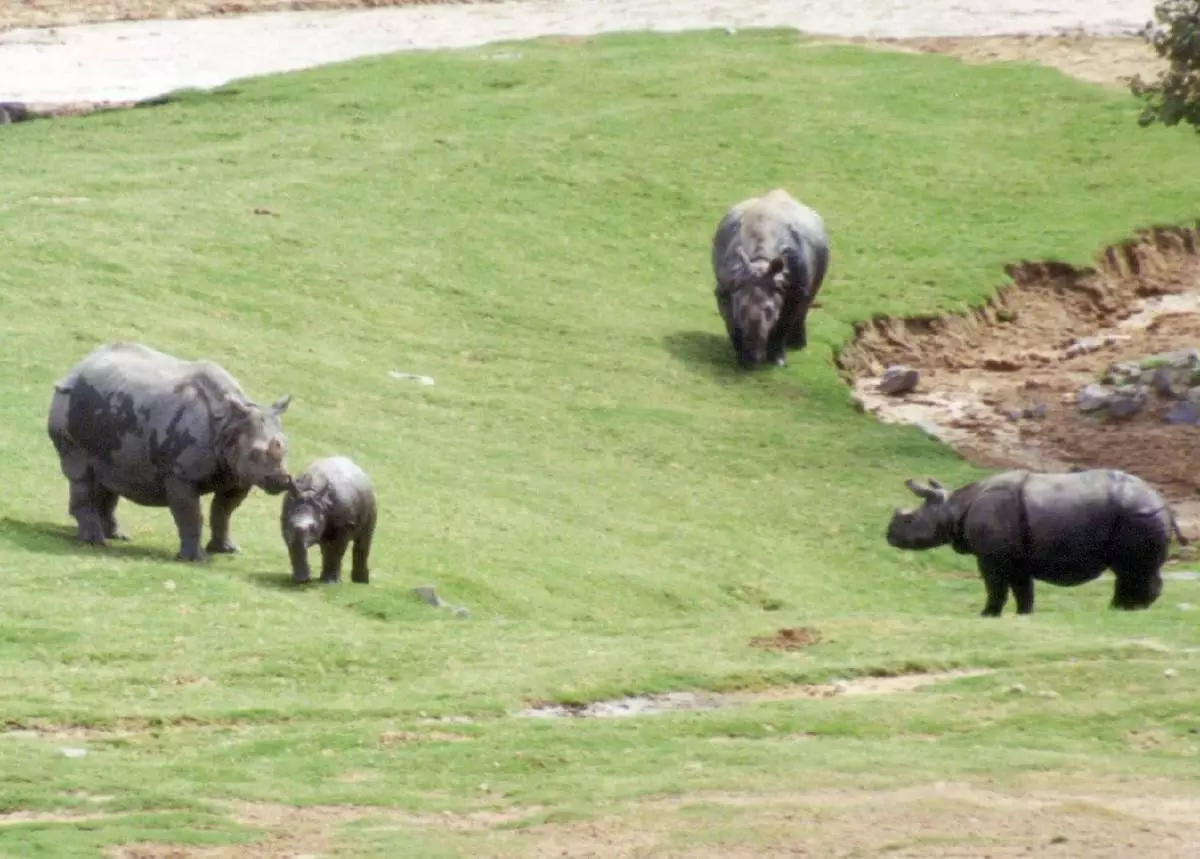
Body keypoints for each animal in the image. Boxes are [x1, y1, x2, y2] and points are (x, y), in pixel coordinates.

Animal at [47, 343, 295, 563]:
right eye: (254, 453)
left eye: (286, 447)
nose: (282, 480)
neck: (230, 423)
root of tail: (79, 366)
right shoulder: (181, 475)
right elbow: (191, 514)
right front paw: (195, 559)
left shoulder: (237, 475)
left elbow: (224, 512)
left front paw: (227, 550)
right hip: (66, 402)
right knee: (81, 472)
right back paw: (95, 542)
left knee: (108, 473)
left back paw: (118, 536)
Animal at [280, 455, 374, 583]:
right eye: (290, 523)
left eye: (313, 527)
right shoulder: (286, 525)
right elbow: (294, 550)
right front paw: (300, 580)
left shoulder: (342, 526)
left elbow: (335, 550)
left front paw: (330, 583)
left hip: (371, 501)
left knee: (363, 541)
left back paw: (361, 582)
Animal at [705, 188, 830, 369]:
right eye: (741, 309)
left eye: (771, 311)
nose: (753, 359)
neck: (759, 262)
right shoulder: (726, 288)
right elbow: (731, 323)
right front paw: (741, 358)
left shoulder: (794, 290)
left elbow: (783, 324)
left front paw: (777, 361)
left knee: (808, 300)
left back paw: (798, 345)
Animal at [888, 465, 1185, 614]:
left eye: (909, 520)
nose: (889, 536)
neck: (952, 507)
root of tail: (1166, 504)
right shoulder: (1017, 557)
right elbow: (1023, 590)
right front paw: (1024, 614)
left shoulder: (991, 557)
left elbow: (995, 587)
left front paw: (987, 614)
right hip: (1138, 512)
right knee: (1130, 570)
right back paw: (1122, 609)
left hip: (1137, 513)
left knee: (1132, 569)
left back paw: (1128, 610)